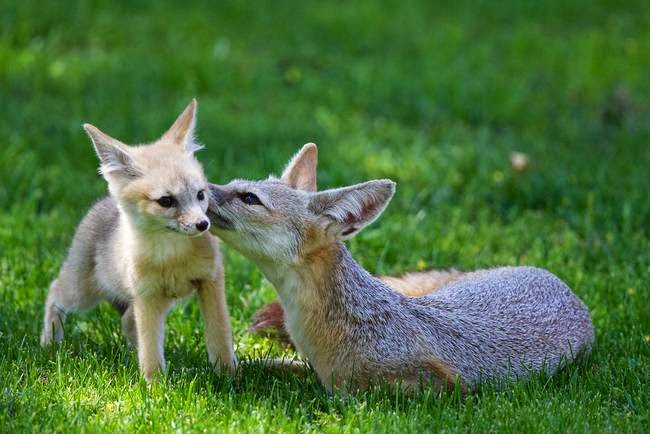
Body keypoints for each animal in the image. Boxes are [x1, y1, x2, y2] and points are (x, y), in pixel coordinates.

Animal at [40, 100, 236, 381]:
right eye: (166, 200)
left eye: (201, 194)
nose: (203, 224)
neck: (173, 255)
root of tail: (102, 203)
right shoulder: (148, 295)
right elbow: (151, 348)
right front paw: (155, 385)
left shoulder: (210, 281)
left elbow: (220, 333)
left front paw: (227, 374)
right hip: (82, 293)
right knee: (54, 291)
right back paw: (50, 342)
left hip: (163, 301)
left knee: (126, 322)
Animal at [207, 143, 594, 392]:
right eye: (233, 184)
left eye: (249, 198)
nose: (199, 188)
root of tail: (556, 281)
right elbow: (258, 363)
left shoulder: (438, 388)